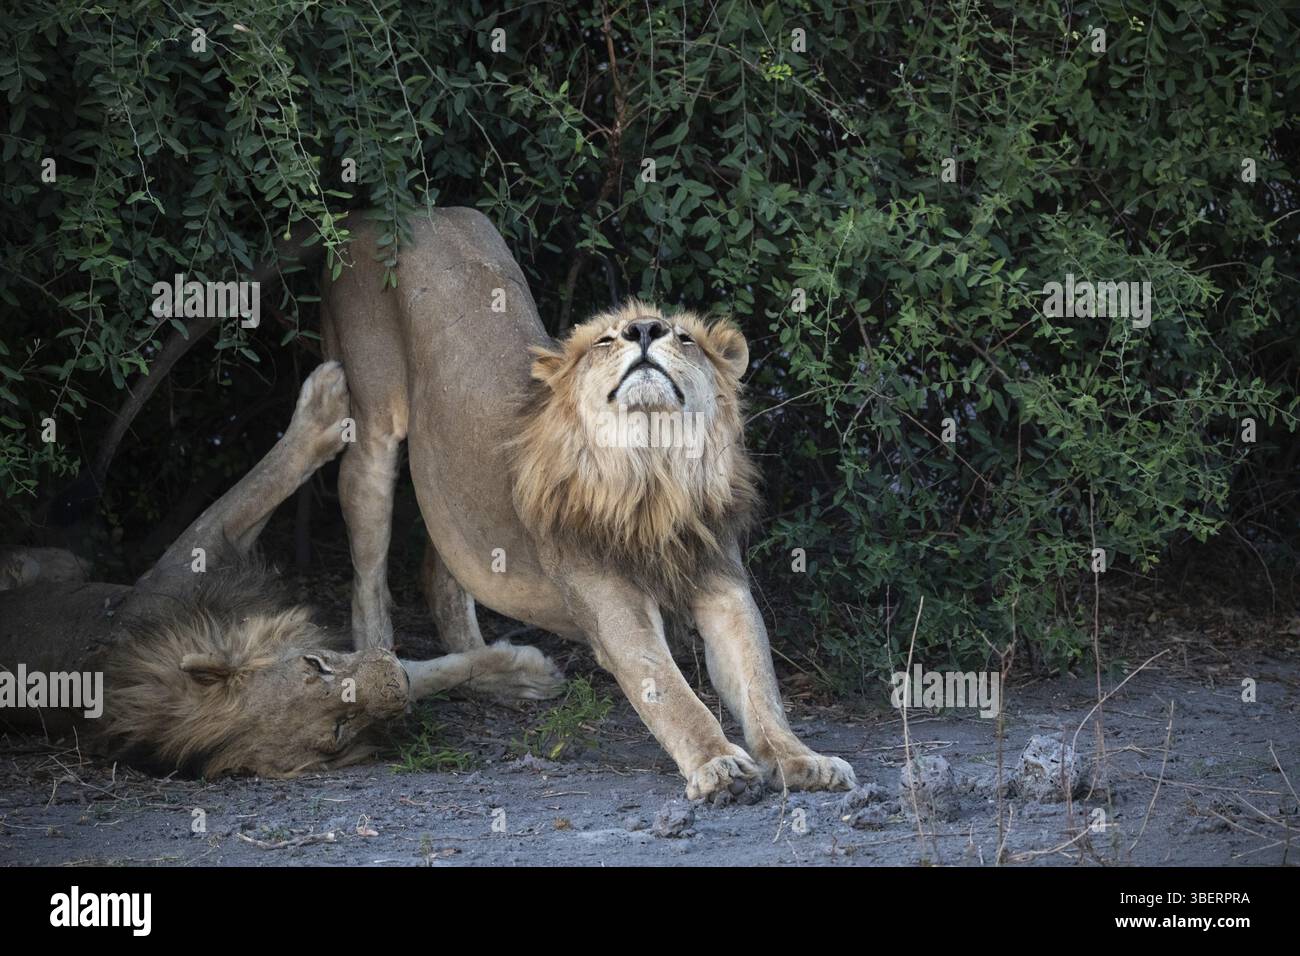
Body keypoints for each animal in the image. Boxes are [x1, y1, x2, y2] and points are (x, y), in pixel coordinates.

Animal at [0, 363, 564, 777]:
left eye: (314, 665)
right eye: (339, 728)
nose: (393, 683)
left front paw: (522, 676)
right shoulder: (191, 557)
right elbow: (256, 485)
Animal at [322, 207, 857, 800]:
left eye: (683, 336)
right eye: (605, 340)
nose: (644, 329)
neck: (652, 472)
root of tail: (409, 209)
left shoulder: (721, 585)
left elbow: (761, 688)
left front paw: (802, 760)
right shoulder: (612, 602)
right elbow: (670, 690)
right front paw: (719, 766)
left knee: (443, 574)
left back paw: (507, 677)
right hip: (371, 427)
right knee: (368, 583)